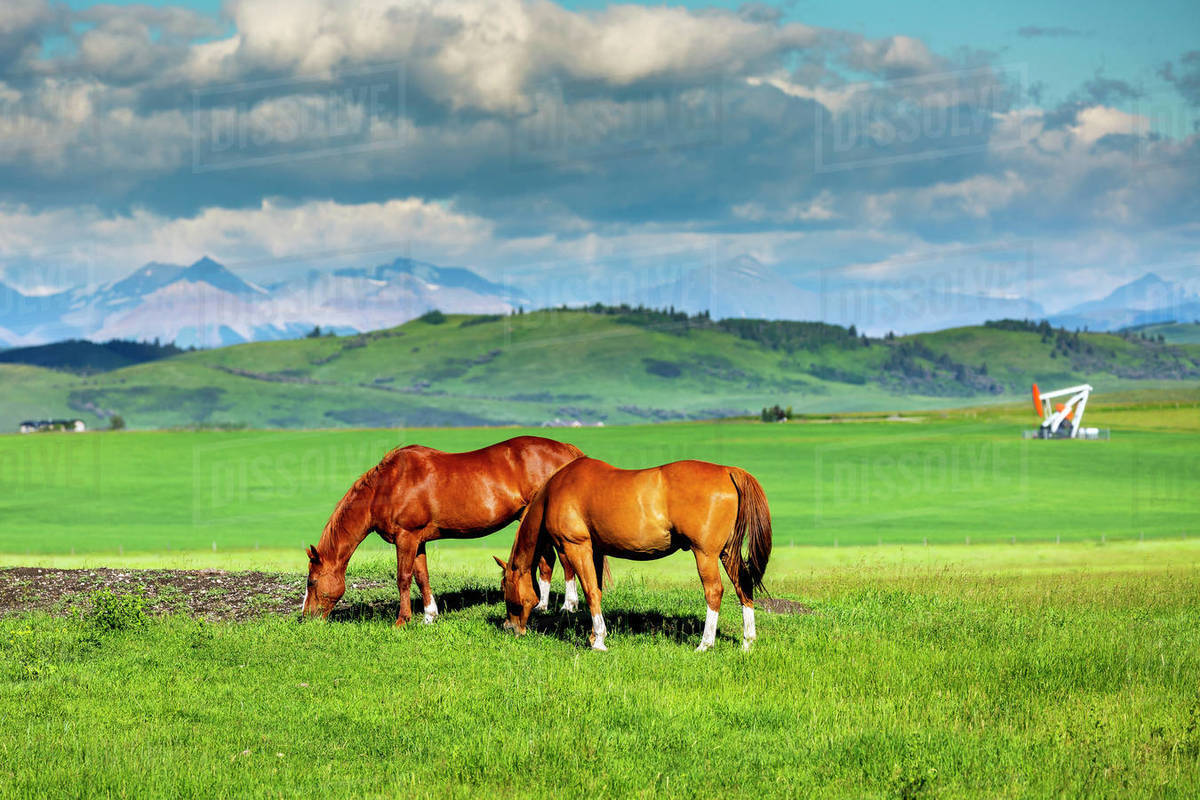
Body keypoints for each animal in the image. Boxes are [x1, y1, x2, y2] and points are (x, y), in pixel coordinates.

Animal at [303, 436, 584, 625]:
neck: (387, 486)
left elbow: (403, 578)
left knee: (561, 560)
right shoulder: (418, 540)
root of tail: (566, 451)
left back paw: (567, 605)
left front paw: (402, 620)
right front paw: (429, 616)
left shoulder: (406, 538)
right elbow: (422, 576)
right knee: (548, 561)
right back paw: (542, 606)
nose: (305, 618)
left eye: (311, 581)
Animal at [496, 457, 772, 651]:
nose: (509, 627)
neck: (554, 494)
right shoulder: (596, 551)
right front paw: (594, 635)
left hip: (705, 555)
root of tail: (727, 471)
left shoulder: (577, 547)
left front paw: (599, 642)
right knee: (743, 586)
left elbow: (590, 591)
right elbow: (596, 591)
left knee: (714, 592)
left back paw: (705, 644)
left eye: (507, 590)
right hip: (728, 553)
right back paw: (747, 642)